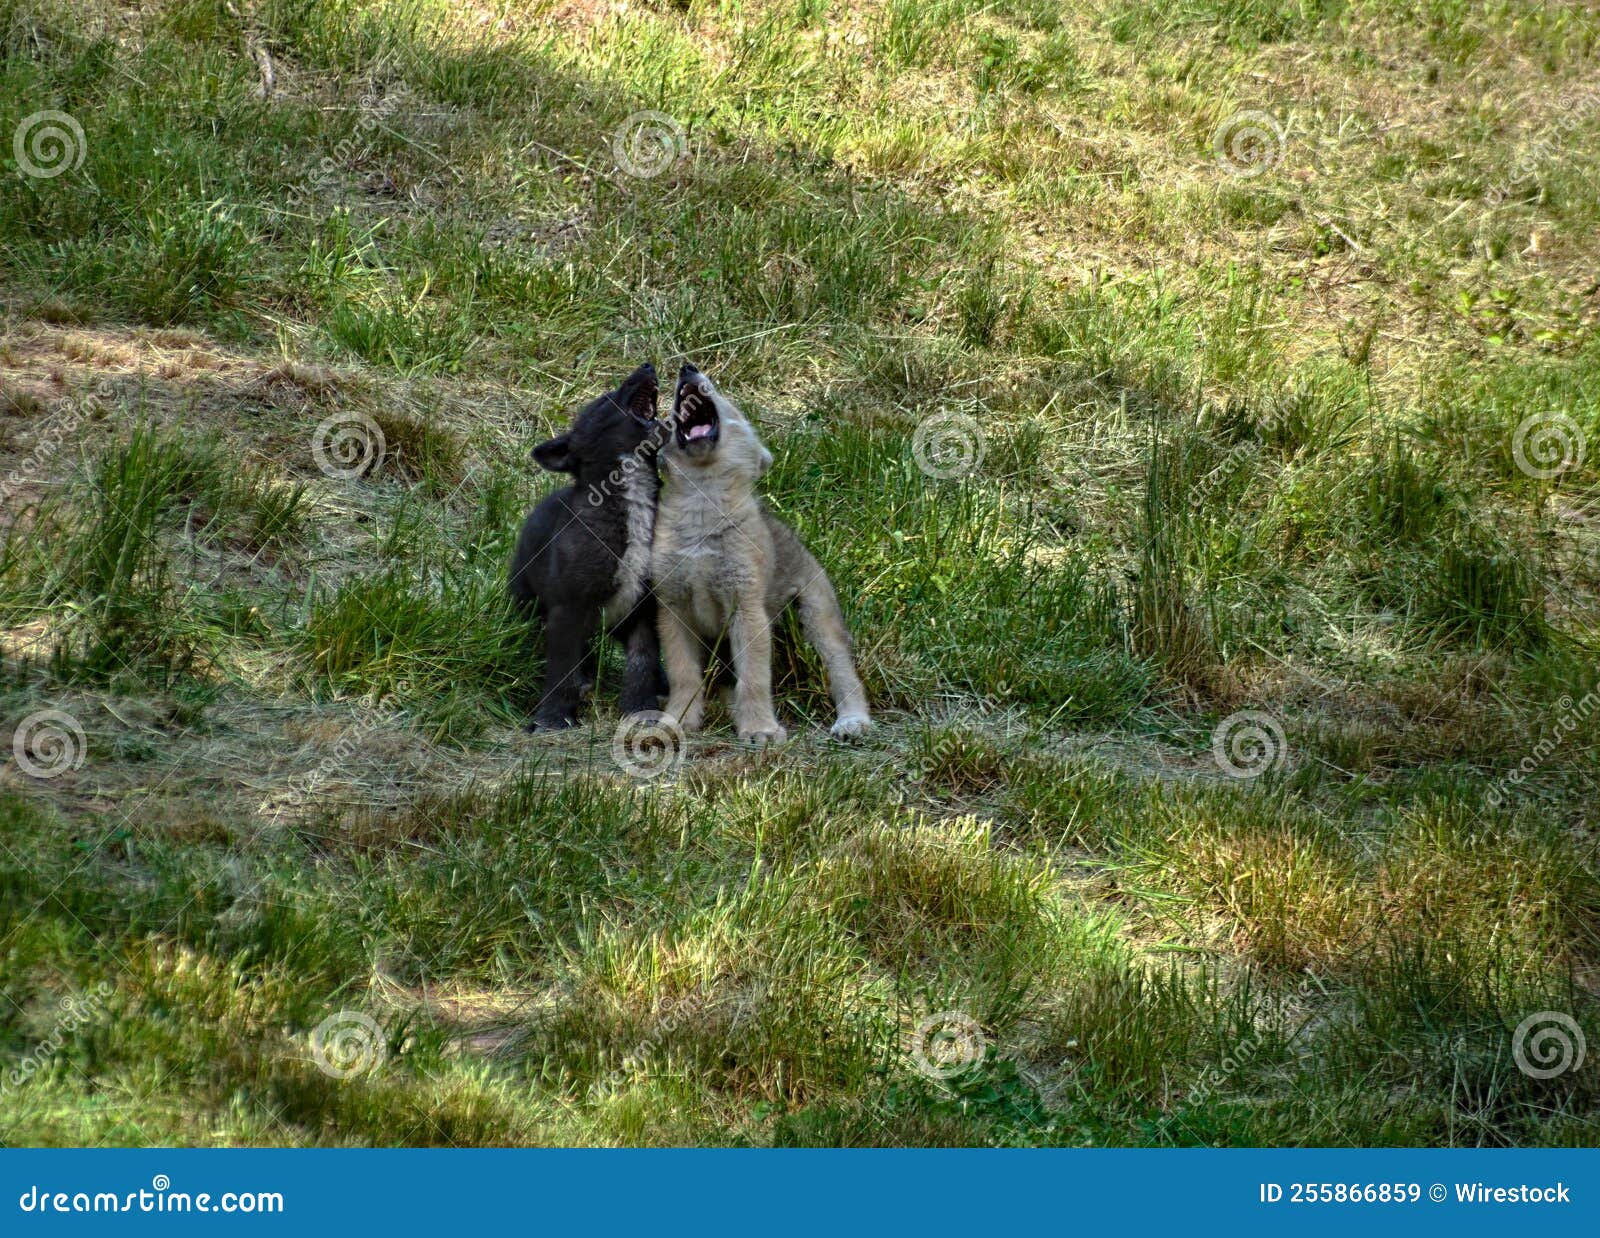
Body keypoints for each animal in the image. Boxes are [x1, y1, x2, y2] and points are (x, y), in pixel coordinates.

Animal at [508, 362, 666, 729]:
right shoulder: (569, 607)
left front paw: (641, 710)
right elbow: (563, 668)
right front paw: (553, 719)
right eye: (605, 399)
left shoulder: (645, 609)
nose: (648, 365)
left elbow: (643, 662)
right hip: (527, 604)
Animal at [650, 362, 872, 745]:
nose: (687, 368)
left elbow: (754, 676)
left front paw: (760, 729)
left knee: (845, 675)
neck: (702, 507)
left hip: (818, 619)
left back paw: (853, 722)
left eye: (727, 399)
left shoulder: (747, 607)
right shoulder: (673, 610)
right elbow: (683, 674)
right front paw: (675, 721)